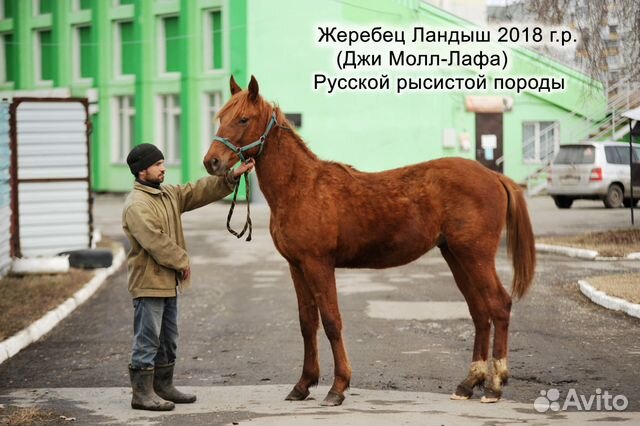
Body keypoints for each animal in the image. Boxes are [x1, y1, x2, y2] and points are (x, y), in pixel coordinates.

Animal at [203, 75, 536, 406]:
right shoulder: (296, 266)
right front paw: (302, 385)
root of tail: (495, 177)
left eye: (243, 119)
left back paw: (494, 386)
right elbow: (307, 323)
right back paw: (468, 383)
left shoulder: (318, 264)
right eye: (220, 117)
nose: (211, 162)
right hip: (455, 255)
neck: (301, 187)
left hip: (475, 256)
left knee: (499, 305)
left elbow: (331, 322)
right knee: (480, 312)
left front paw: (337, 387)